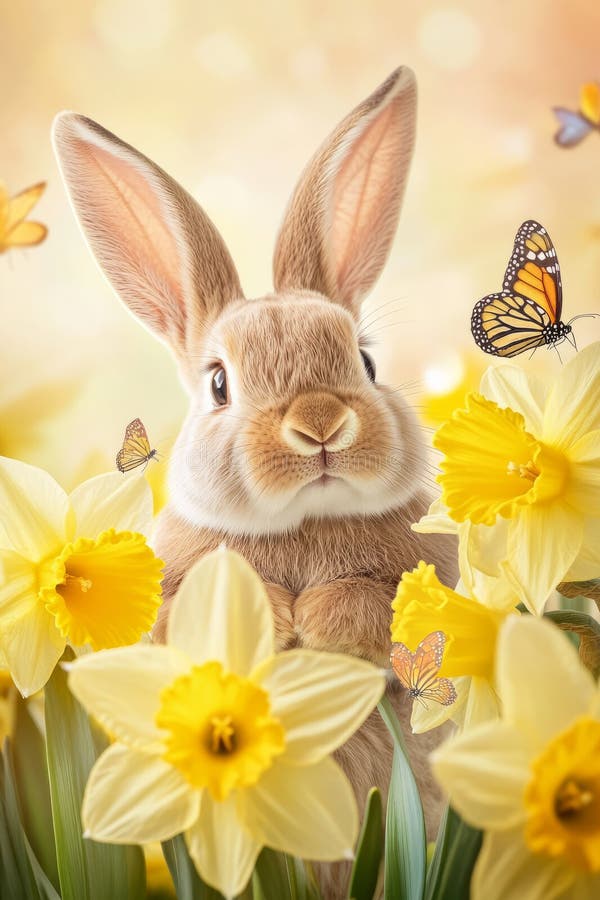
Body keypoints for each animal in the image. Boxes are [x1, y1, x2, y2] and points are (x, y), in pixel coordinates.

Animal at [53, 66, 457, 898]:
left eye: (365, 361)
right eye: (218, 384)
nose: (321, 425)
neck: (304, 521)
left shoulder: (430, 574)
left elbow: (382, 607)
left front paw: (320, 627)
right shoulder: (168, 589)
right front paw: (273, 620)